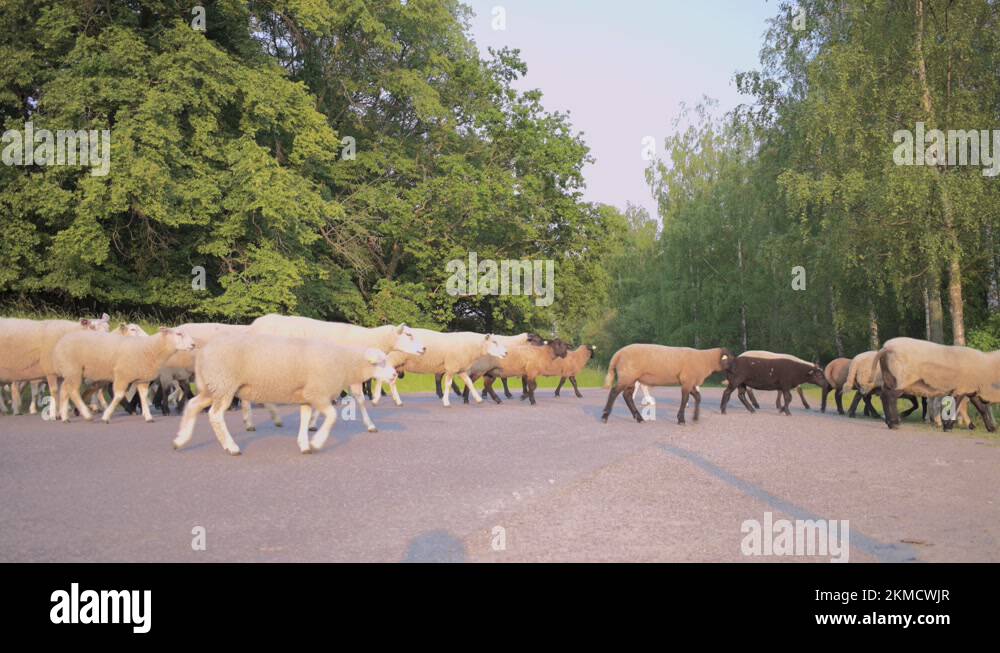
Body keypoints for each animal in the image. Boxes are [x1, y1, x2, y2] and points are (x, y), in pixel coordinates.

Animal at [53, 327, 195, 422]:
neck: (148, 349)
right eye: (179, 333)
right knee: (73, 390)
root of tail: (61, 342)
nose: (193, 344)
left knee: (65, 390)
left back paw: (65, 417)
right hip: (73, 369)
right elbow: (119, 395)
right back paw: (86, 415)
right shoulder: (122, 375)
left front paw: (148, 416)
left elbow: (143, 396)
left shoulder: (142, 379)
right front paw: (106, 416)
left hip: (71, 371)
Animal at [172, 334, 398, 455]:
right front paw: (317, 442)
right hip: (224, 384)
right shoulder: (318, 392)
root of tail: (202, 353)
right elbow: (333, 417)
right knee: (215, 416)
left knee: (192, 405)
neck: (344, 363)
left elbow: (305, 418)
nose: (395, 374)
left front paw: (304, 444)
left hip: (212, 386)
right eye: (380, 362)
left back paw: (180, 440)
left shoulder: (307, 395)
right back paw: (232, 446)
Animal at [602, 344, 733, 424]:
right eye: (729, 358)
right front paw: (681, 419)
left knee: (627, 396)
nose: (735, 368)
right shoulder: (687, 380)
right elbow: (685, 399)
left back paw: (639, 418)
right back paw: (605, 416)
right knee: (614, 392)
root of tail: (618, 354)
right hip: (627, 375)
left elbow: (698, 397)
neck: (705, 360)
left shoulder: (689, 381)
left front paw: (695, 417)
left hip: (631, 378)